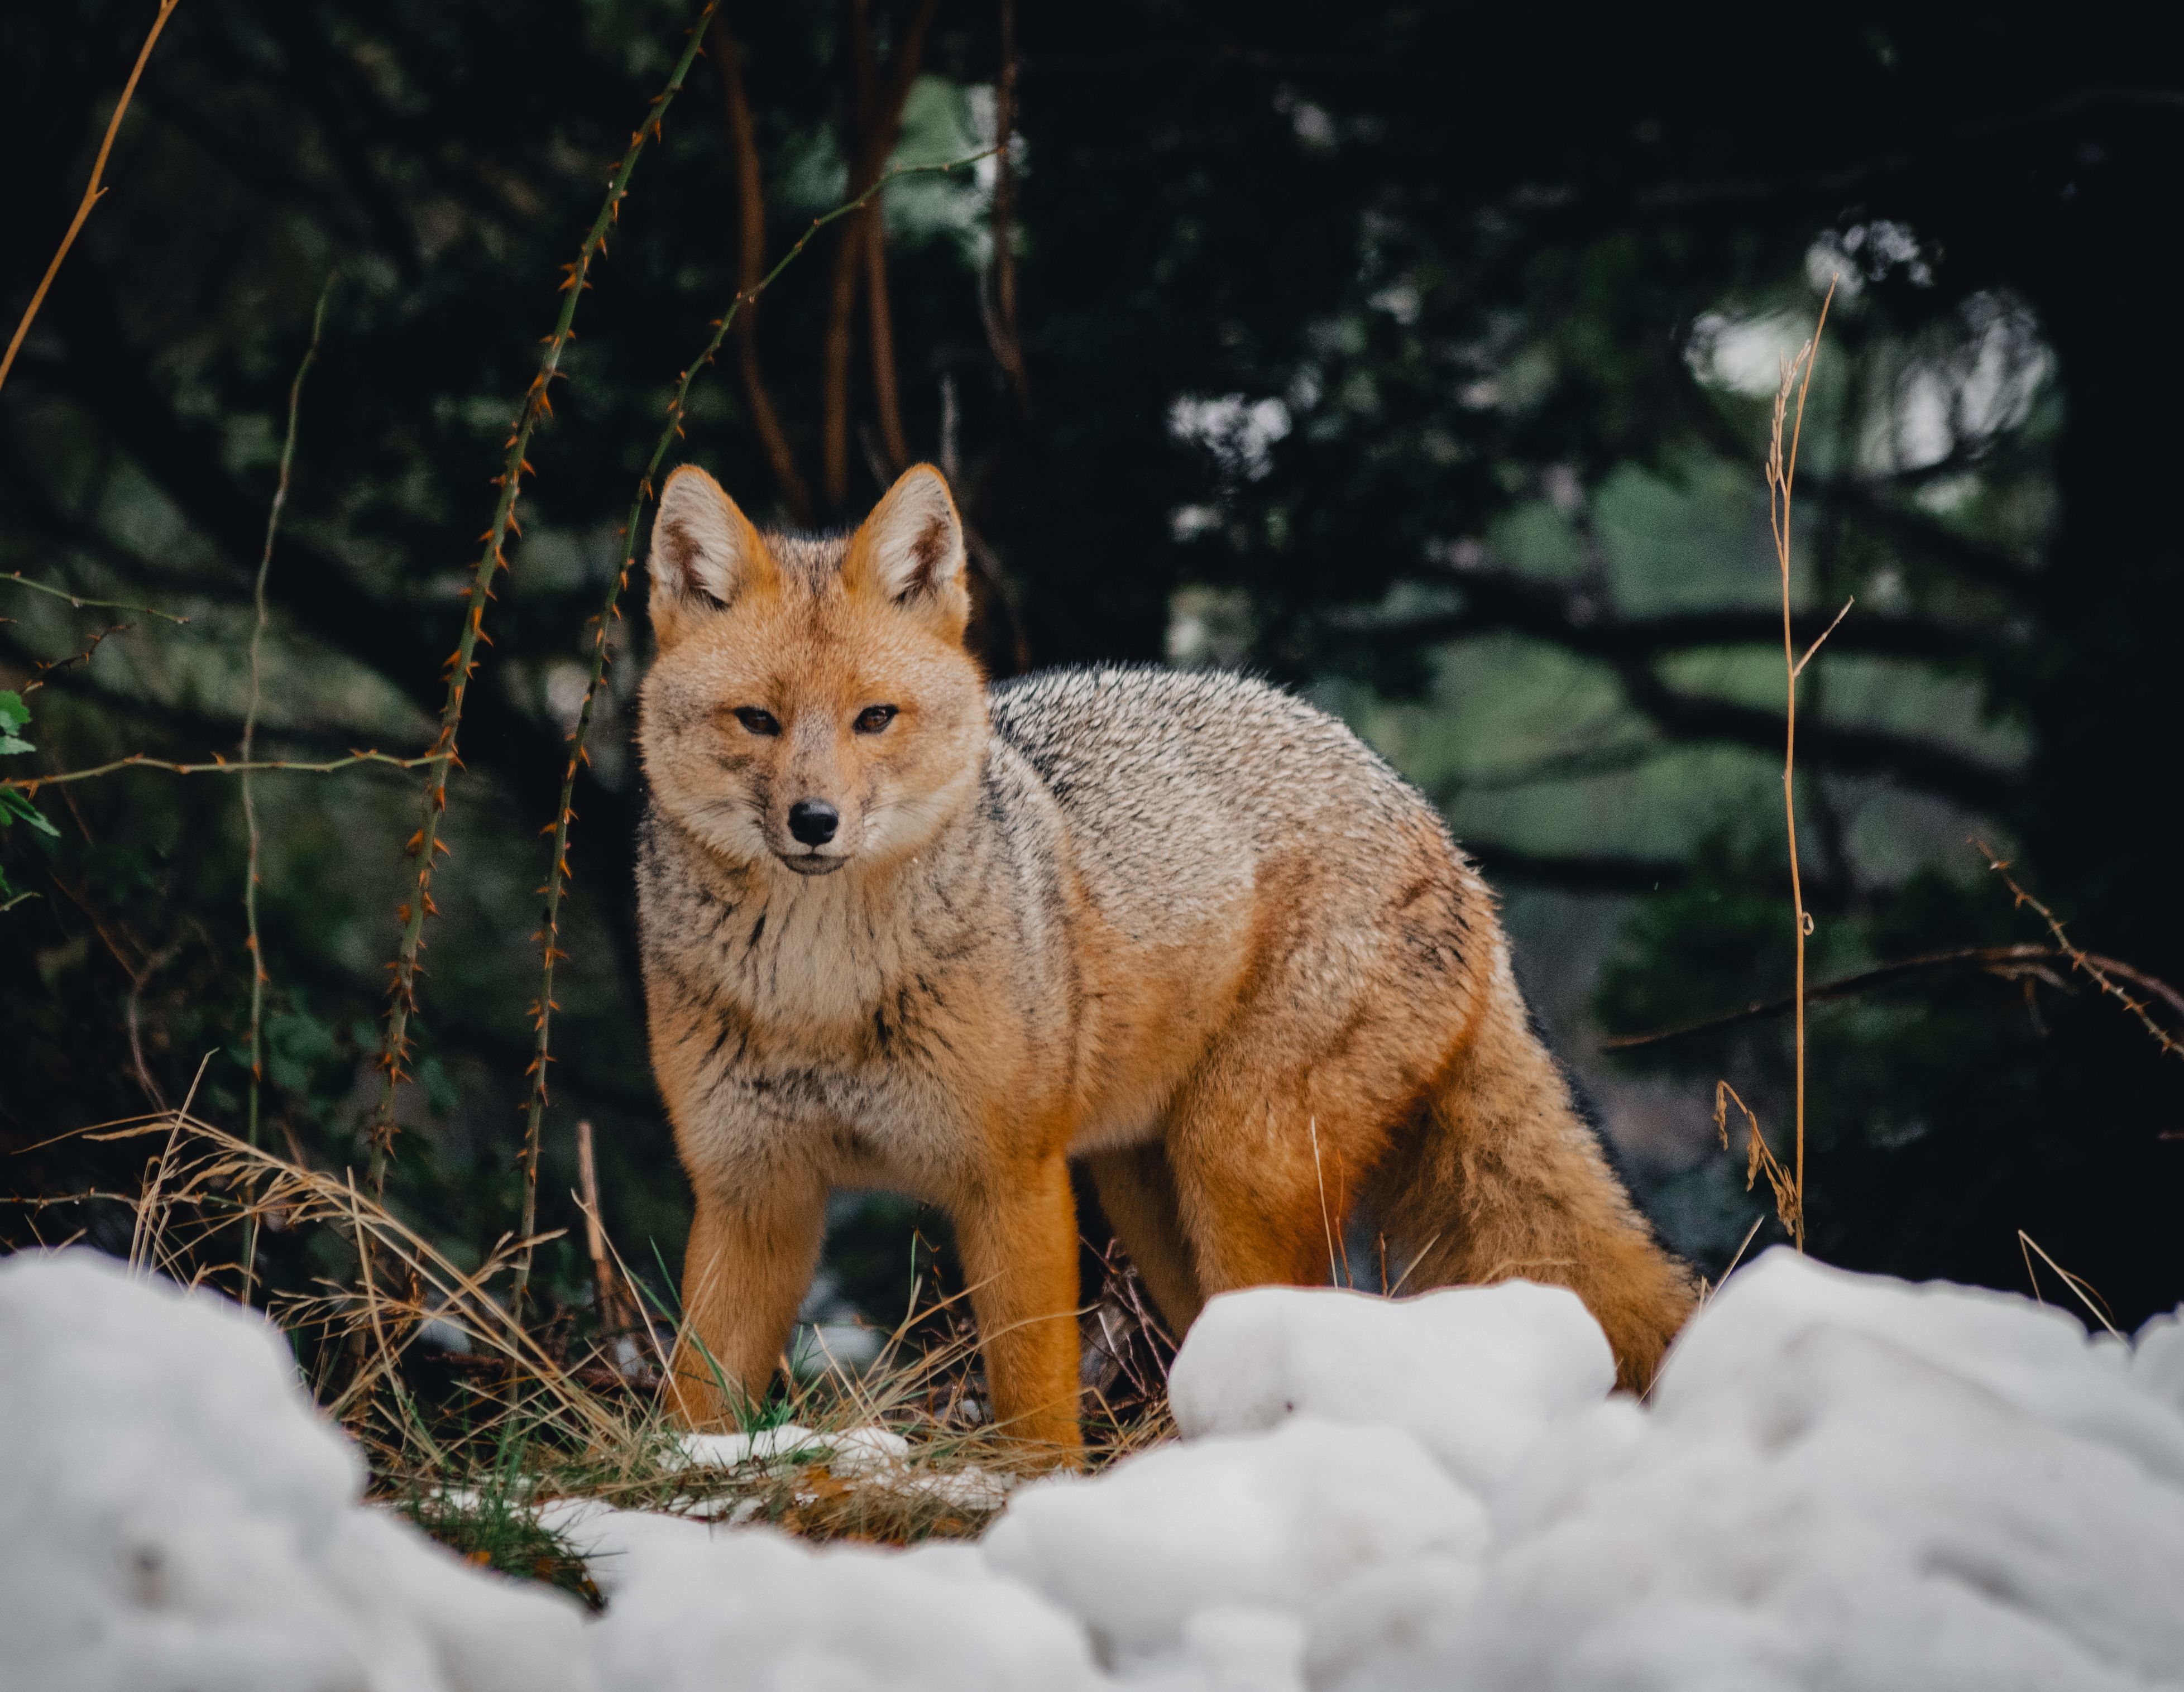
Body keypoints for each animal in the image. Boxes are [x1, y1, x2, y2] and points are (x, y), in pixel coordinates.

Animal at [636, 460, 1696, 1454]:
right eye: (757, 720)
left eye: (874, 718)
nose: (814, 822)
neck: (822, 994)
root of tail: (1435, 826)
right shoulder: (750, 1197)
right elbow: (695, 1392)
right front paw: (690, 1474)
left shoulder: (1012, 1182)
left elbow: (1036, 1410)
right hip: (1155, 1202)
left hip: (1235, 1171)